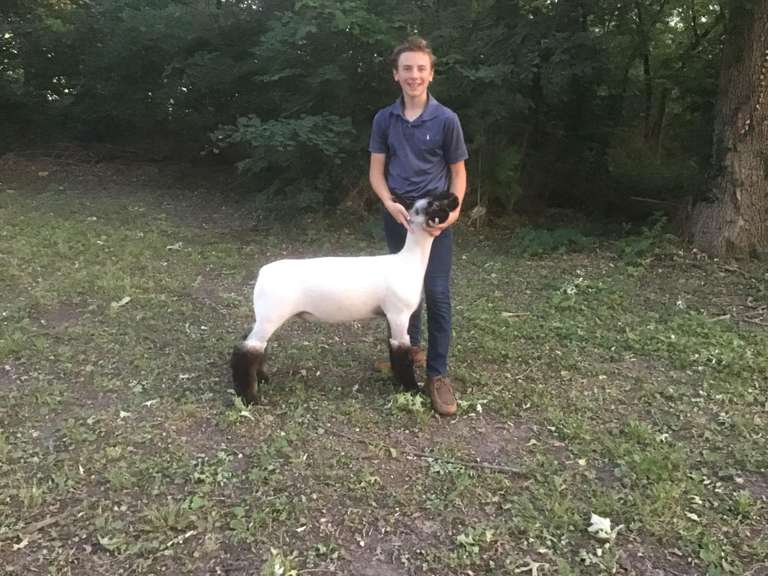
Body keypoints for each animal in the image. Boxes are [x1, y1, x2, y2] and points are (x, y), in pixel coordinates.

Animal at [231, 192, 460, 405]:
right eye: (432, 205)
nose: (455, 199)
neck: (409, 261)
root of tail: (262, 273)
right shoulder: (398, 315)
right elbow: (401, 353)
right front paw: (413, 389)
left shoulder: (392, 316)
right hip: (271, 316)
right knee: (247, 351)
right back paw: (250, 397)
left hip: (264, 317)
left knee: (253, 345)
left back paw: (262, 378)